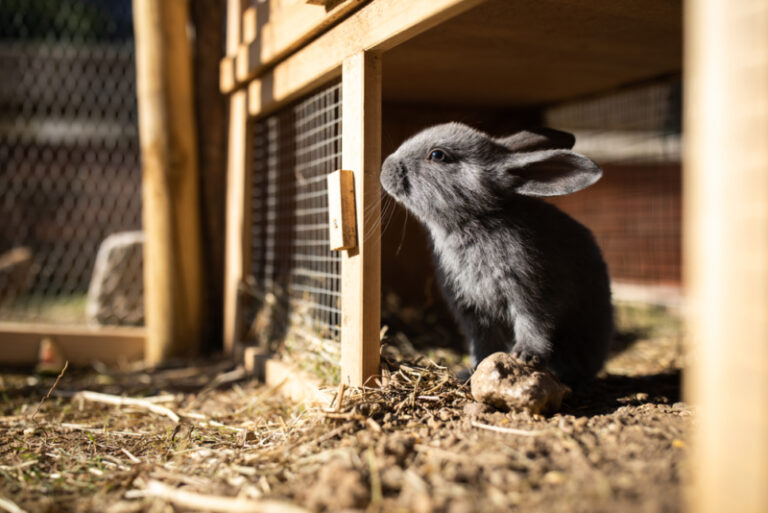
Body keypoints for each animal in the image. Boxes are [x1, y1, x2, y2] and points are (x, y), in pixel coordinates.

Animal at [380, 122, 613, 386]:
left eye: (438, 155)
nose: (385, 167)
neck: (473, 220)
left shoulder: (532, 295)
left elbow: (534, 326)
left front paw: (525, 356)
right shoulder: (473, 314)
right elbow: (484, 346)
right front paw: (473, 371)